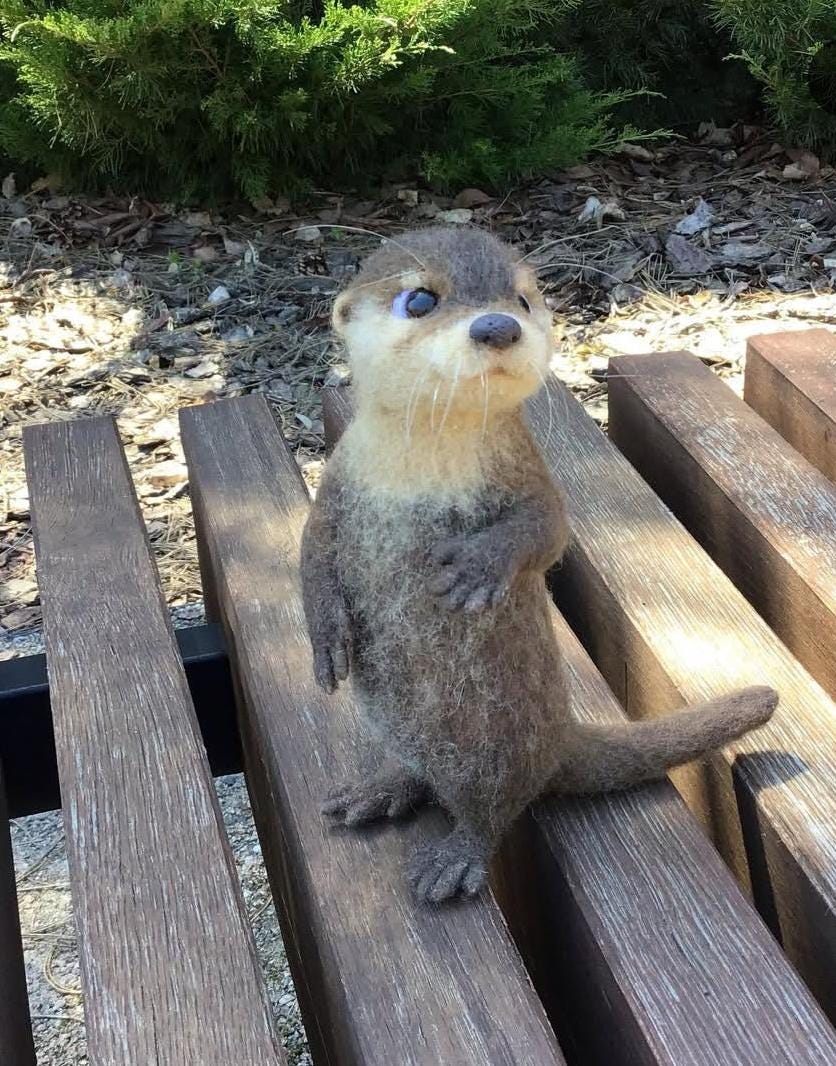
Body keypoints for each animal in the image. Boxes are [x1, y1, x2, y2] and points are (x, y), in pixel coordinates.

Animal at [300, 226, 777, 904]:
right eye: (419, 300)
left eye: (523, 300)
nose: (498, 325)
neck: (420, 473)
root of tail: (559, 742)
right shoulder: (338, 482)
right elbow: (312, 553)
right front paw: (326, 641)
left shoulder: (533, 478)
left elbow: (549, 534)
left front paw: (478, 567)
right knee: (421, 770)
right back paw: (379, 789)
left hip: (495, 748)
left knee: (492, 808)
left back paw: (453, 857)